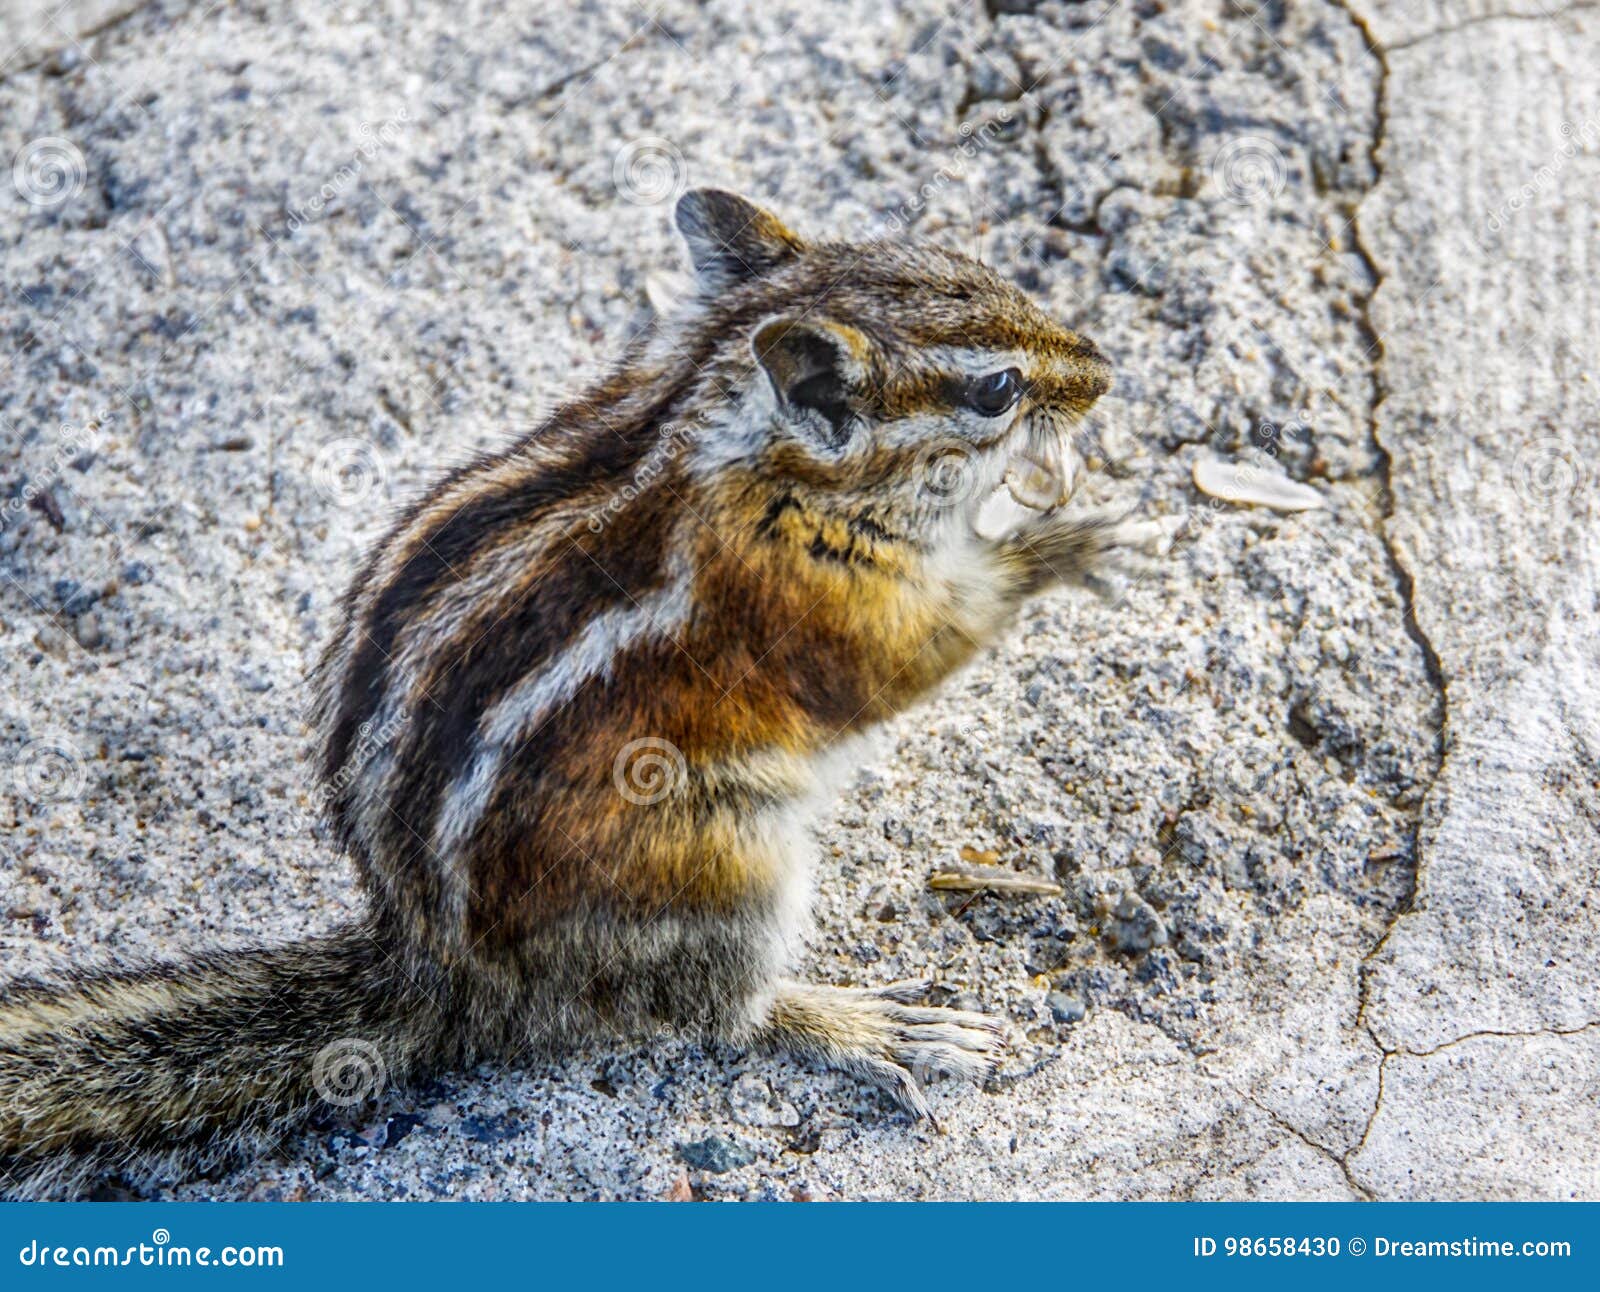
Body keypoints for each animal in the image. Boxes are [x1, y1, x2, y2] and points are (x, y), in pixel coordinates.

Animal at [0, 189, 1153, 1199]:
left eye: (988, 271)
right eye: (997, 389)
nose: (1104, 371)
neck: (725, 435)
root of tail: (440, 970)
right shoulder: (827, 602)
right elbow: (922, 646)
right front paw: (1067, 541)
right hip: (725, 867)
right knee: (722, 1010)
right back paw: (864, 1023)